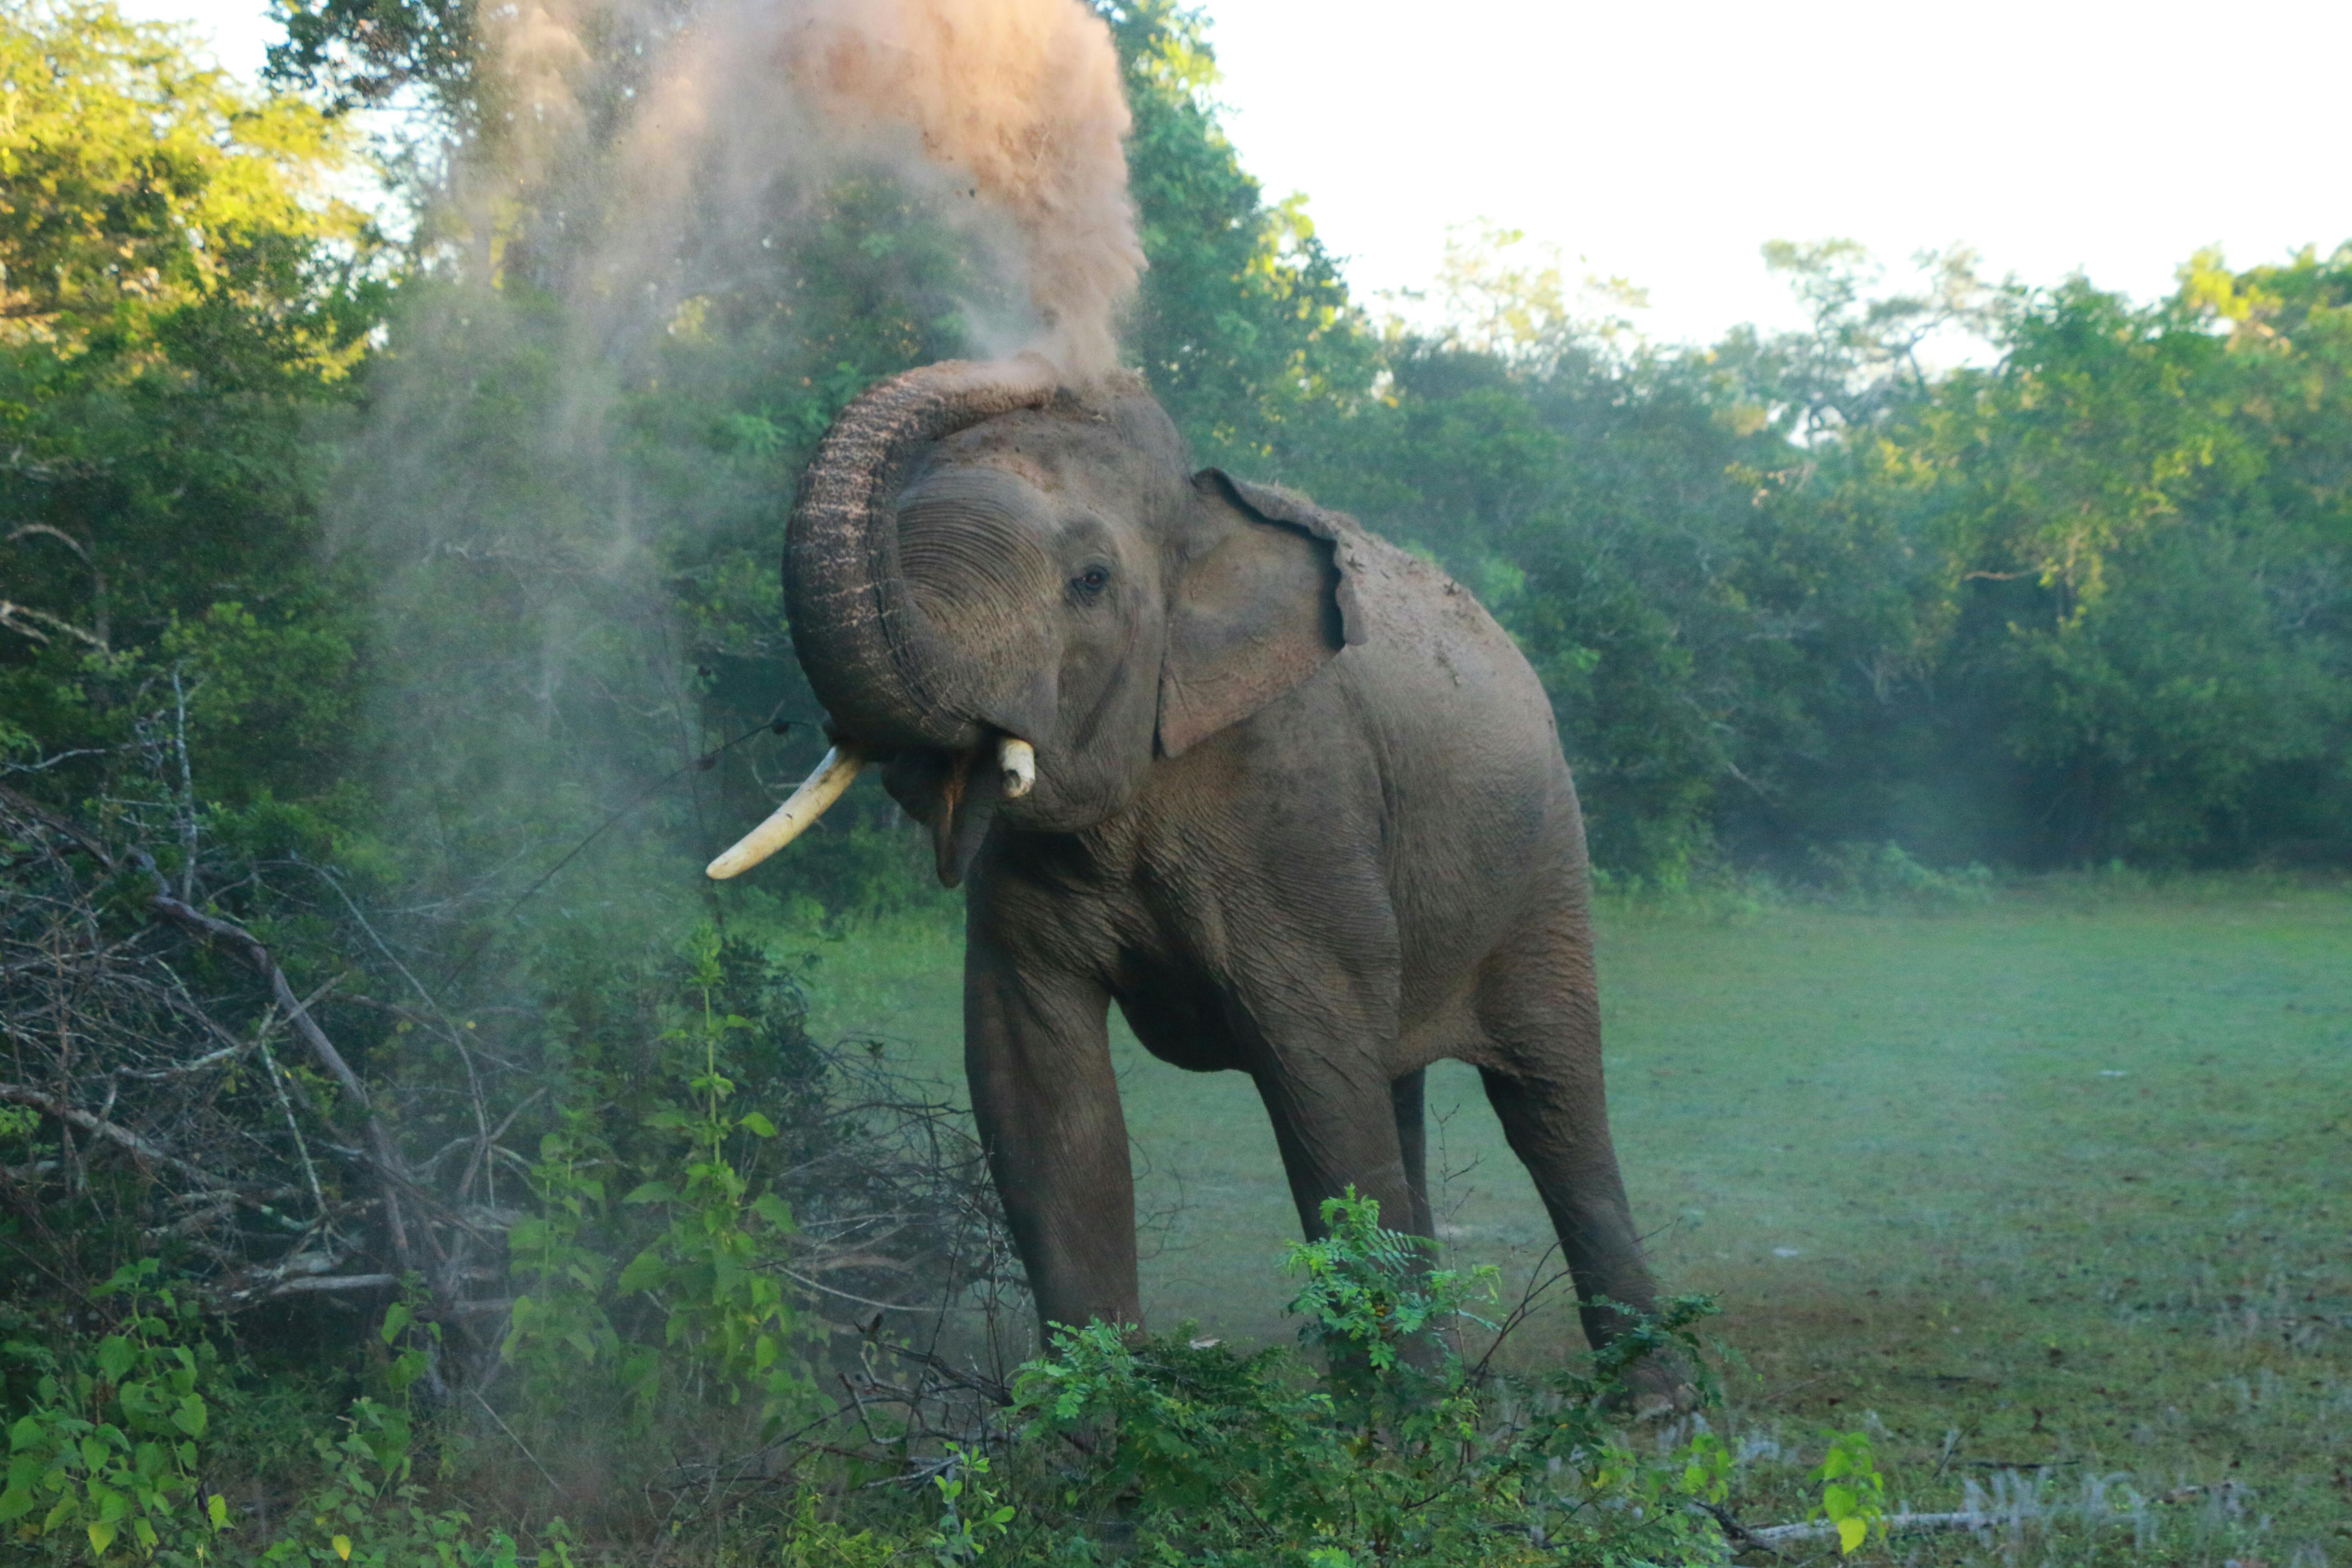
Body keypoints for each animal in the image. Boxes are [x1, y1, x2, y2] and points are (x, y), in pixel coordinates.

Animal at [709, 353, 1668, 1372]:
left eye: (1090, 581)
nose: (1055, 371)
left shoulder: (1301, 810)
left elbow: (1322, 1088)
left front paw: (1388, 1412)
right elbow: (1036, 1092)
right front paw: (1100, 1409)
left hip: (1547, 859)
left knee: (1549, 1102)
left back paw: (1646, 1397)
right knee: (1401, 1085)